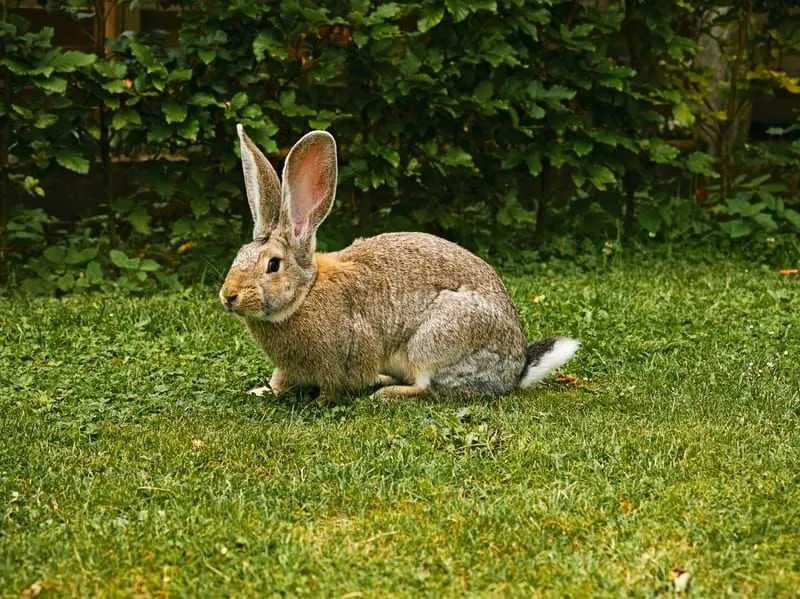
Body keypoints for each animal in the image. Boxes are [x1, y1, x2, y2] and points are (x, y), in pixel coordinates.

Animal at [220, 123, 580, 400]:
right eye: (239, 256)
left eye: (273, 265)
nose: (228, 296)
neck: (304, 294)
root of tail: (514, 372)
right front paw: (261, 391)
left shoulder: (347, 353)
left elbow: (335, 388)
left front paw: (319, 401)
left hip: (436, 338)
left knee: (427, 387)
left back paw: (386, 392)